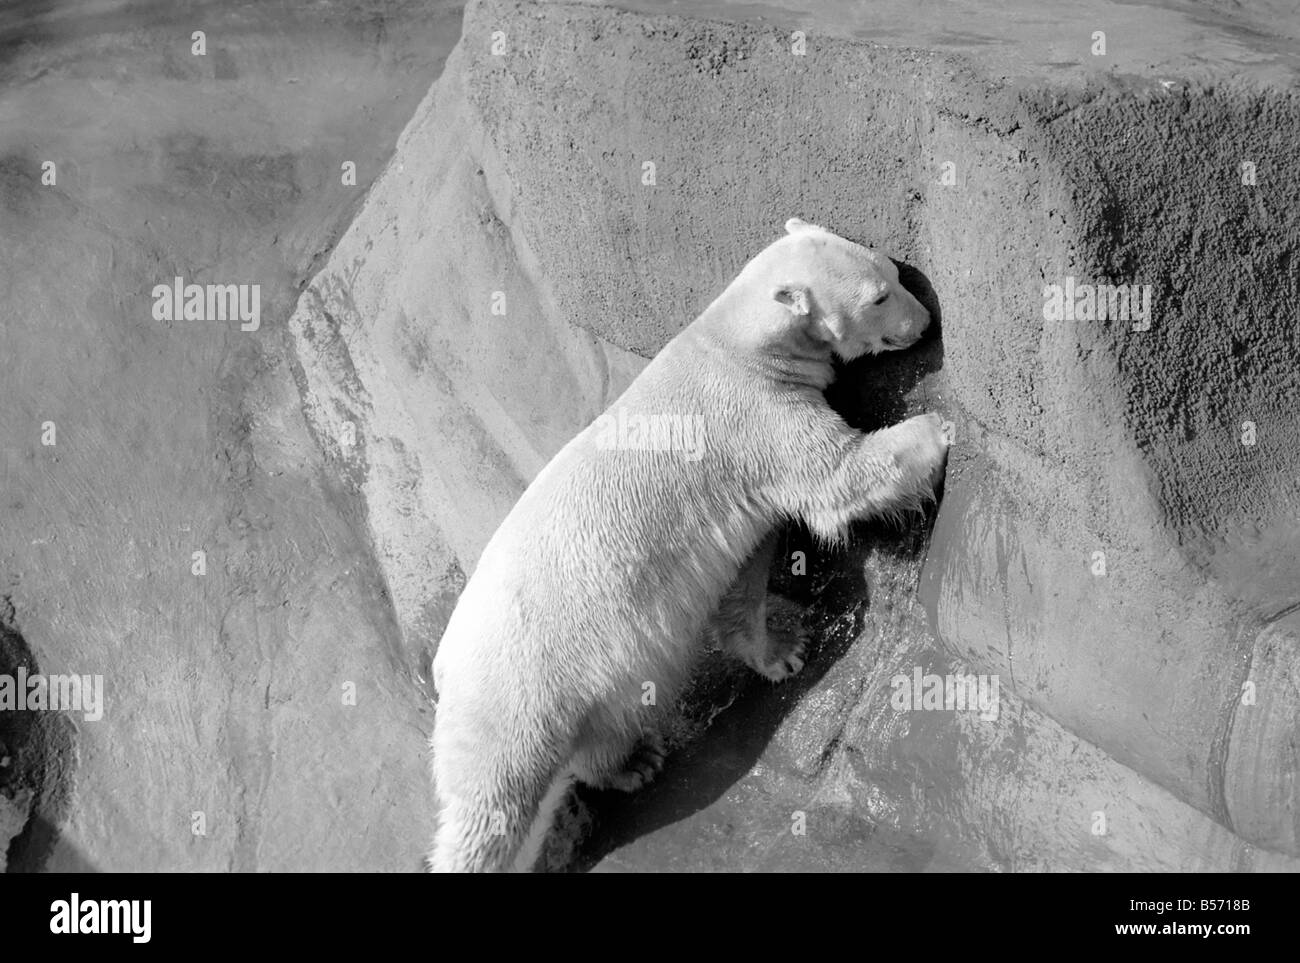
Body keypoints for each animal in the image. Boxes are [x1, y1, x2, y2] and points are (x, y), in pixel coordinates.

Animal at [428, 218, 950, 872]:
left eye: (891, 270)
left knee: (603, 727)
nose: (926, 320)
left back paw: (634, 762)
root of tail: (444, 668)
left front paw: (782, 649)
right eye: (879, 297)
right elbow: (836, 476)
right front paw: (935, 430)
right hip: (516, 687)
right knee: (495, 801)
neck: (734, 341)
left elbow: (743, 577)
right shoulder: (755, 415)